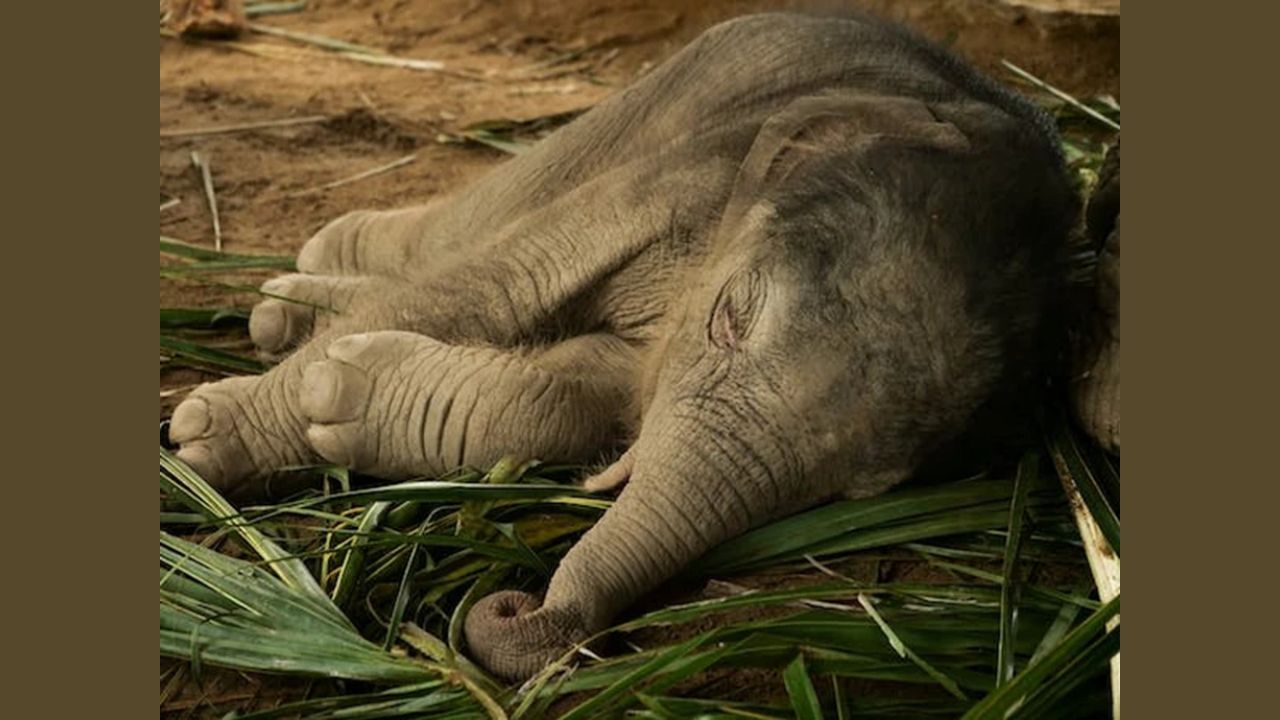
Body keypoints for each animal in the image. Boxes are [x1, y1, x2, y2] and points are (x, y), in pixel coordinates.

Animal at [167, 12, 1078, 680]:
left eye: (856, 491)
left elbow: (581, 393)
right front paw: (206, 443)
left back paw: (286, 312)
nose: (516, 608)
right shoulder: (697, 166)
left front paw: (339, 387)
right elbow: (496, 287)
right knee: (475, 217)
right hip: (642, 100)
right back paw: (310, 276)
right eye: (729, 319)